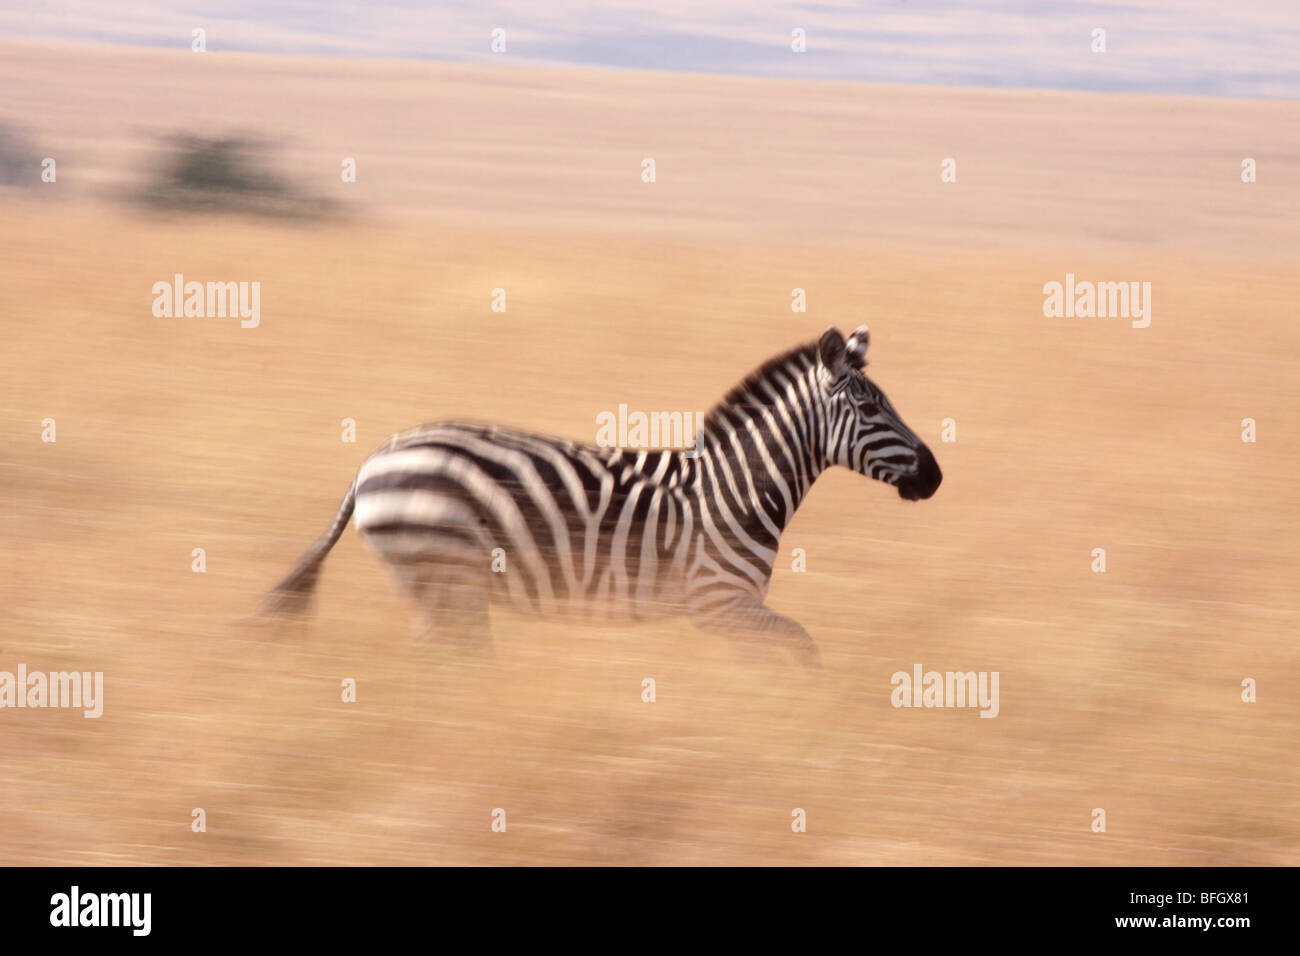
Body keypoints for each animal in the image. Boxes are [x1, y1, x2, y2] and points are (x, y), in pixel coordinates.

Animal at [265, 325, 941, 666]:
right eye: (870, 408)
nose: (935, 476)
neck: (738, 484)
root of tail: (372, 461)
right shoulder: (718, 601)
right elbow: (803, 648)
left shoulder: (735, 611)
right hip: (444, 571)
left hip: (440, 582)